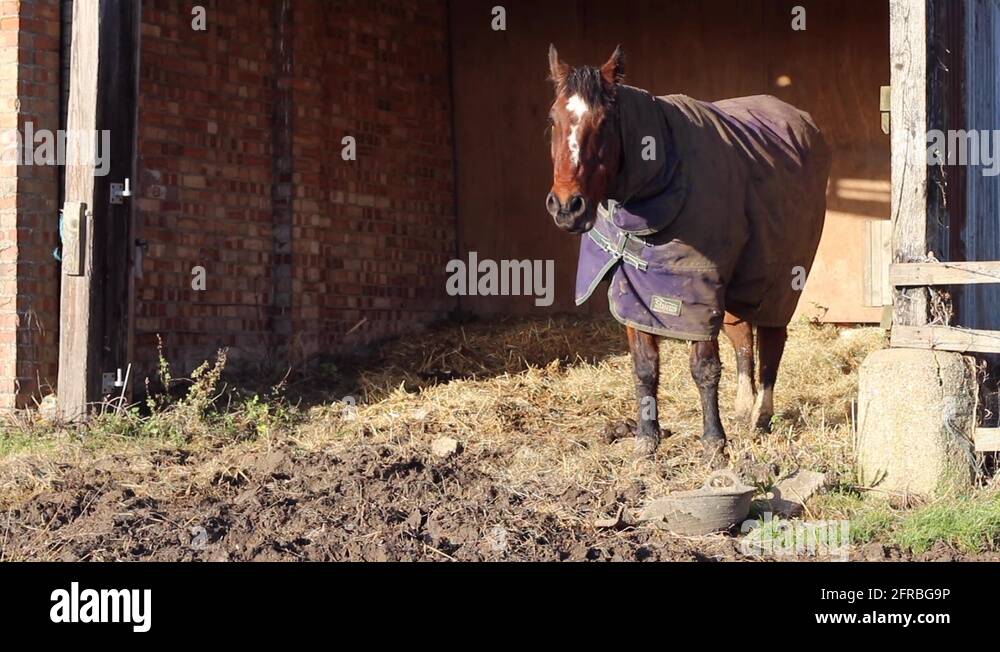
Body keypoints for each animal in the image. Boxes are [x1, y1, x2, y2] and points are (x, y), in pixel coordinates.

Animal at [545, 45, 830, 459]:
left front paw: (714, 441)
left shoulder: (698, 289)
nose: (567, 207)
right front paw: (647, 438)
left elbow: (705, 367)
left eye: (605, 122)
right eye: (553, 119)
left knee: (772, 340)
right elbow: (645, 366)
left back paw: (761, 416)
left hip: (782, 276)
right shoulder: (636, 290)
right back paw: (744, 408)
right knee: (743, 339)